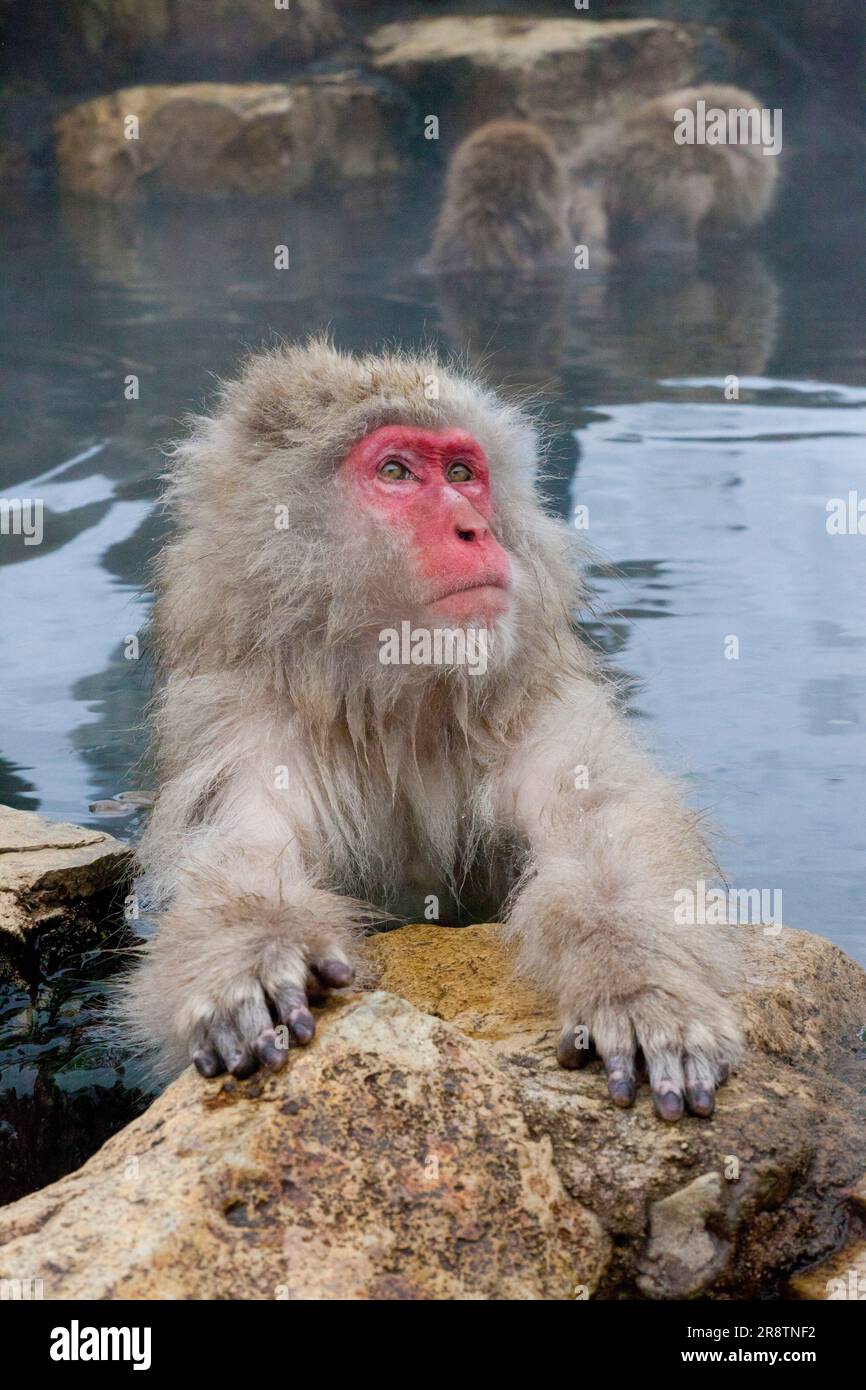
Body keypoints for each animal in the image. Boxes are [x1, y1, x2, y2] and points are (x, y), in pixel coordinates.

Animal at [121, 337, 742, 1122]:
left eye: (461, 474)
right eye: (395, 472)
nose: (474, 529)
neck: (400, 708)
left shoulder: (529, 708)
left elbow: (601, 837)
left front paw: (640, 989)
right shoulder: (248, 734)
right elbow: (243, 849)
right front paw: (250, 957)